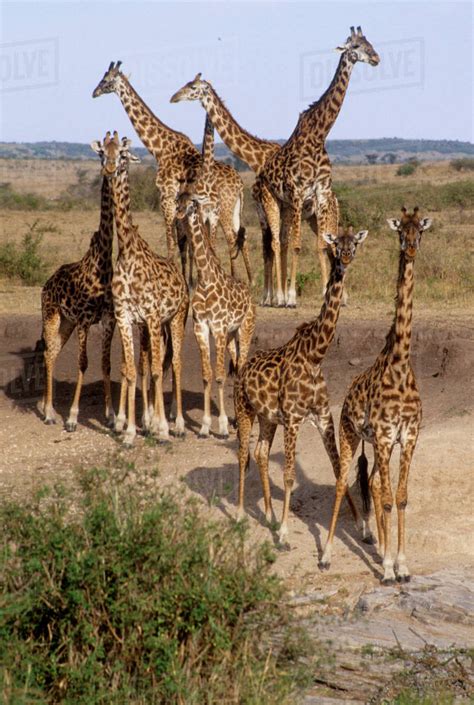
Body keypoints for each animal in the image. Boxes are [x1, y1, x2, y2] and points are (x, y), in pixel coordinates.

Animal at [37, 131, 125, 431]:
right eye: (101, 152)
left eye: (120, 153)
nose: (109, 168)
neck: (102, 263)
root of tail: (47, 283)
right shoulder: (86, 320)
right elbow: (83, 362)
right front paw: (73, 418)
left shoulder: (108, 318)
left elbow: (106, 363)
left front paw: (111, 416)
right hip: (52, 315)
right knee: (47, 353)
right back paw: (50, 413)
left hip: (67, 322)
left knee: (51, 352)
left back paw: (46, 408)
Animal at [91, 131, 189, 448]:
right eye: (102, 152)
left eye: (122, 153)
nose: (110, 168)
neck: (127, 252)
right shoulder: (125, 317)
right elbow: (133, 371)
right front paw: (131, 431)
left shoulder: (153, 317)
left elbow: (157, 370)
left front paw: (161, 429)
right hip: (150, 326)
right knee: (149, 365)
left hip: (176, 319)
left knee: (176, 363)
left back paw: (178, 424)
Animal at [92, 62, 251, 285]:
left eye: (105, 80)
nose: (94, 92)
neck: (160, 148)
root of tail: (240, 183)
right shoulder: (179, 206)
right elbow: (185, 244)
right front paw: (187, 279)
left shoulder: (166, 198)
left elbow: (172, 243)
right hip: (234, 210)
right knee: (241, 238)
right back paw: (250, 280)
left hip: (223, 210)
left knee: (230, 239)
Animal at [234, 226, 368, 543]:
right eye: (336, 244)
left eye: (354, 244)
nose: (345, 258)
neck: (315, 355)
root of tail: (241, 370)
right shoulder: (294, 419)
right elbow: (289, 475)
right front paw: (284, 532)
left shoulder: (323, 416)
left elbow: (337, 468)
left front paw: (361, 525)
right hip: (244, 409)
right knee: (243, 454)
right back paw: (241, 514)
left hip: (268, 418)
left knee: (260, 453)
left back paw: (269, 515)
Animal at [320, 208, 432, 584]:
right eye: (400, 231)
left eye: (420, 231)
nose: (410, 249)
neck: (399, 365)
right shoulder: (384, 436)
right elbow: (385, 500)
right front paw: (386, 571)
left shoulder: (407, 436)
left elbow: (400, 497)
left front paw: (401, 565)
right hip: (348, 432)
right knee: (343, 482)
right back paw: (326, 556)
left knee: (371, 483)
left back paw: (381, 550)